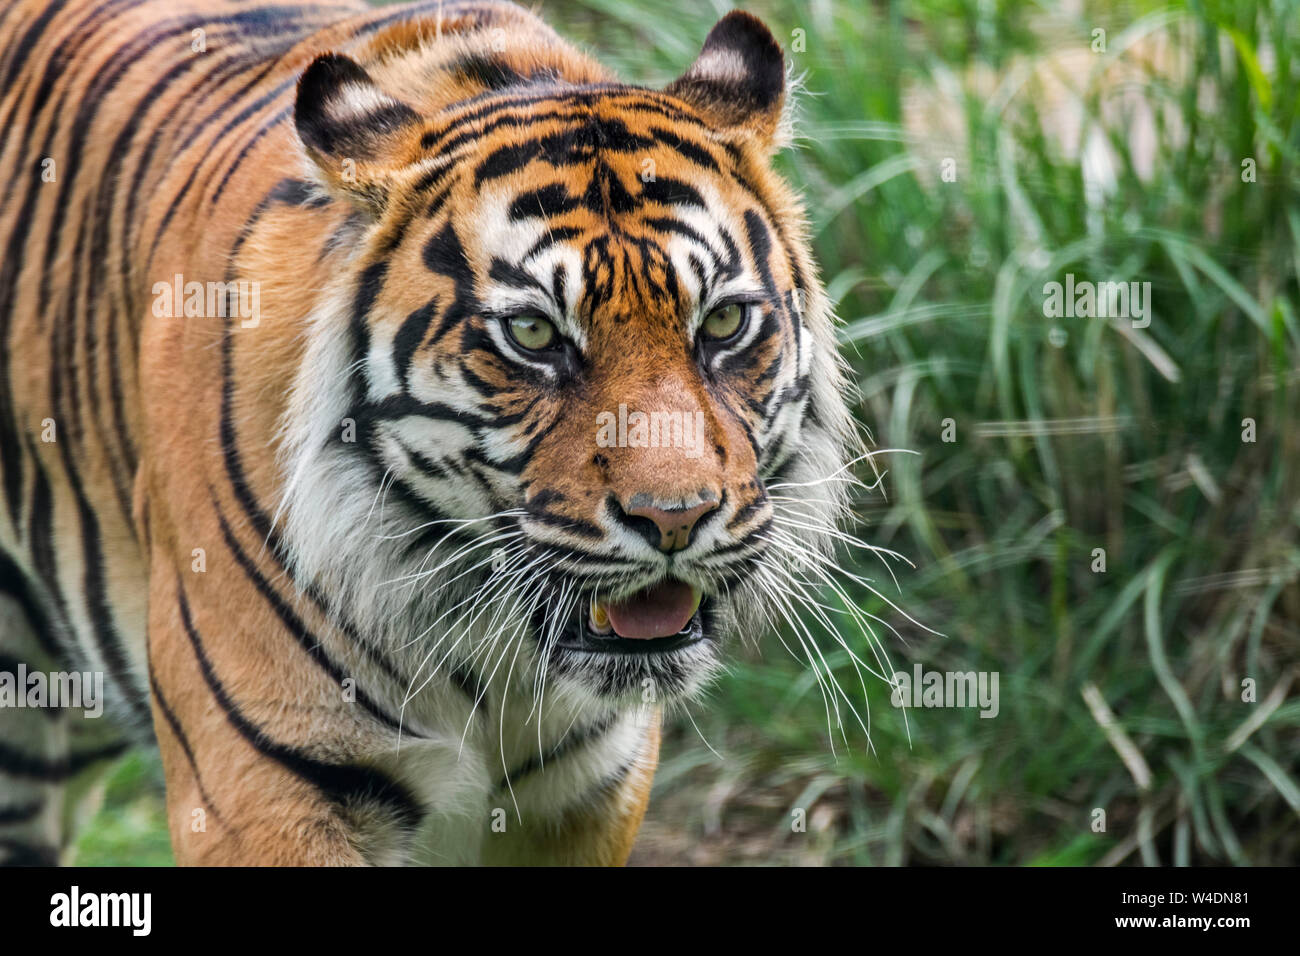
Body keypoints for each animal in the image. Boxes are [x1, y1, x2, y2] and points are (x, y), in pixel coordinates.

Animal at [0, 0, 852, 868]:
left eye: (722, 322)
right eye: (534, 335)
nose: (676, 519)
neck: (491, 661)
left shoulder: (586, 793)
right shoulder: (264, 794)